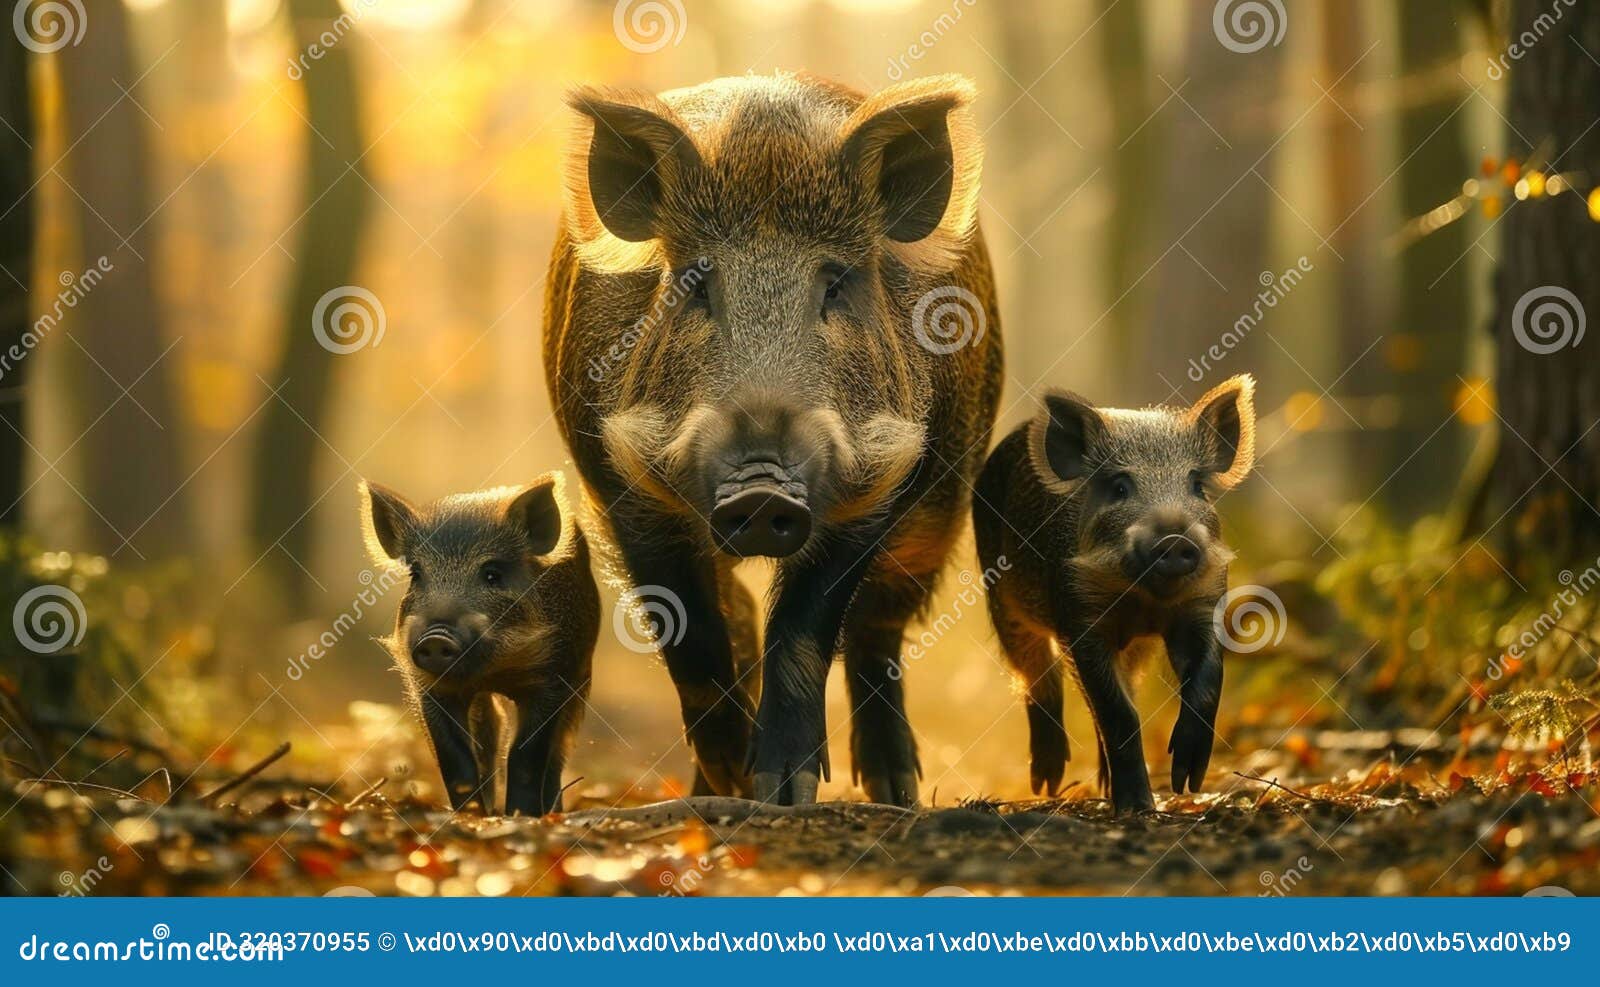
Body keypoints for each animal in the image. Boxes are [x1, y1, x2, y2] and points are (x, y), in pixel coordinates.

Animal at [359, 472, 598, 816]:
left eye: (492, 575)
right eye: (416, 575)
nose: (436, 637)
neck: (491, 671)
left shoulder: (553, 678)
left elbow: (526, 755)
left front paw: (521, 815)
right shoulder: (430, 688)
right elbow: (456, 757)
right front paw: (472, 815)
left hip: (581, 674)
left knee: (558, 749)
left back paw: (553, 811)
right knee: (490, 733)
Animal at [543, 72, 1002, 806]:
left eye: (836, 284)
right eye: (695, 285)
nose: (762, 489)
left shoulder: (879, 485)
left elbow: (808, 629)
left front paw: (784, 792)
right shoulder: (618, 488)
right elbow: (694, 636)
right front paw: (733, 779)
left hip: (941, 507)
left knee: (877, 630)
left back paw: (895, 791)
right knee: (738, 613)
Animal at [972, 375, 1257, 812]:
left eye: (1197, 486)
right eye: (1120, 487)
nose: (1174, 538)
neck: (1145, 600)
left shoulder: (1203, 603)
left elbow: (1205, 682)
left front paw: (1185, 784)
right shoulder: (1079, 619)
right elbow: (1116, 711)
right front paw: (1138, 807)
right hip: (1003, 602)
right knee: (1037, 676)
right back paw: (1047, 785)